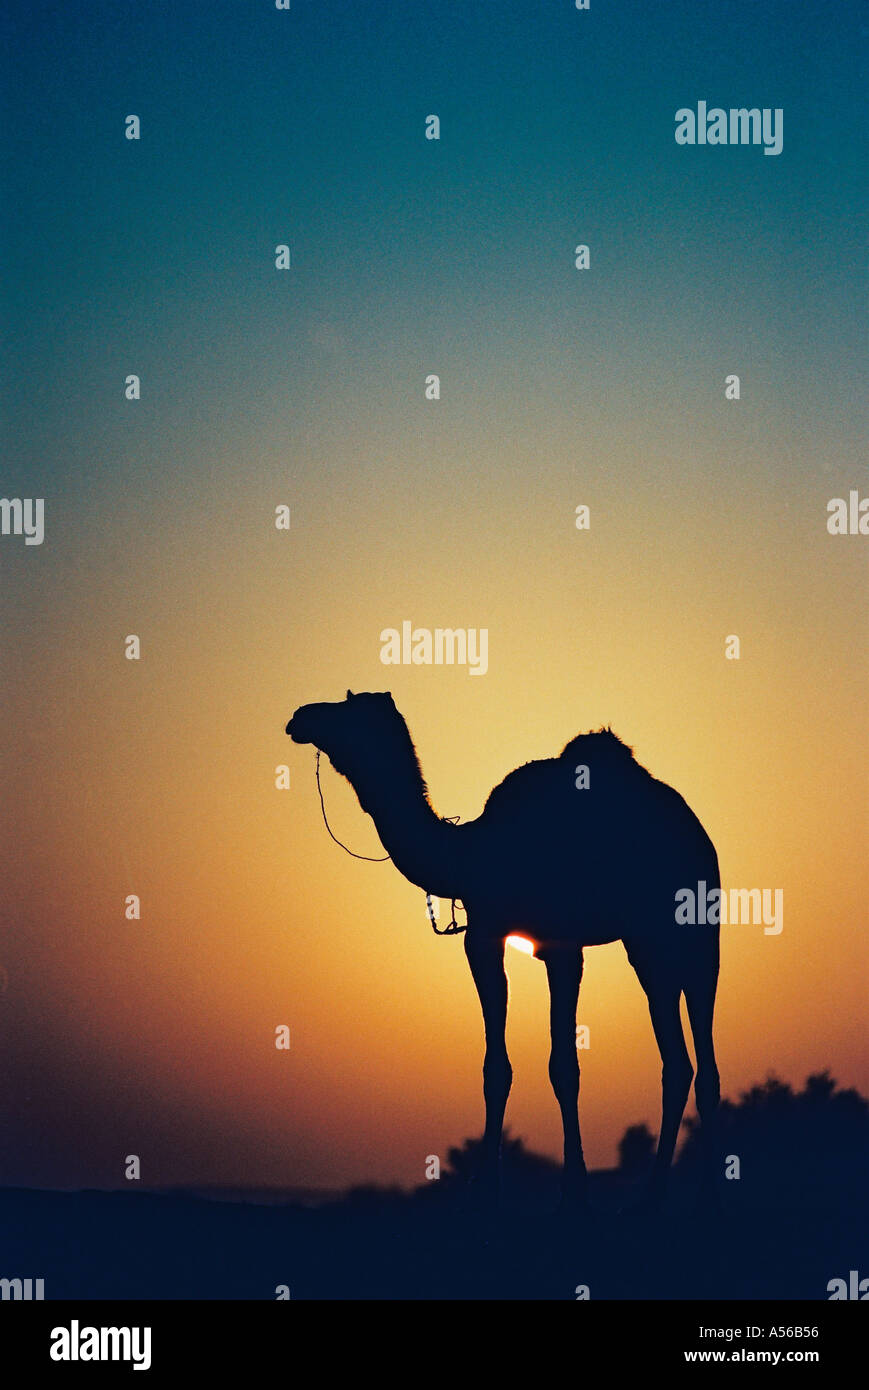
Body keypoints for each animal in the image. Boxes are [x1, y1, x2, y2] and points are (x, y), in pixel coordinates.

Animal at [286, 690, 721, 1208]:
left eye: (348, 711)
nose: (300, 717)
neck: (474, 853)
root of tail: (697, 832)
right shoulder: (485, 936)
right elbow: (496, 1067)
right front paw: (486, 1186)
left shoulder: (561, 944)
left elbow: (564, 1066)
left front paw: (573, 1187)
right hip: (647, 944)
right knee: (677, 1060)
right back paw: (655, 1193)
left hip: (699, 931)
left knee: (703, 1055)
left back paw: (705, 1191)